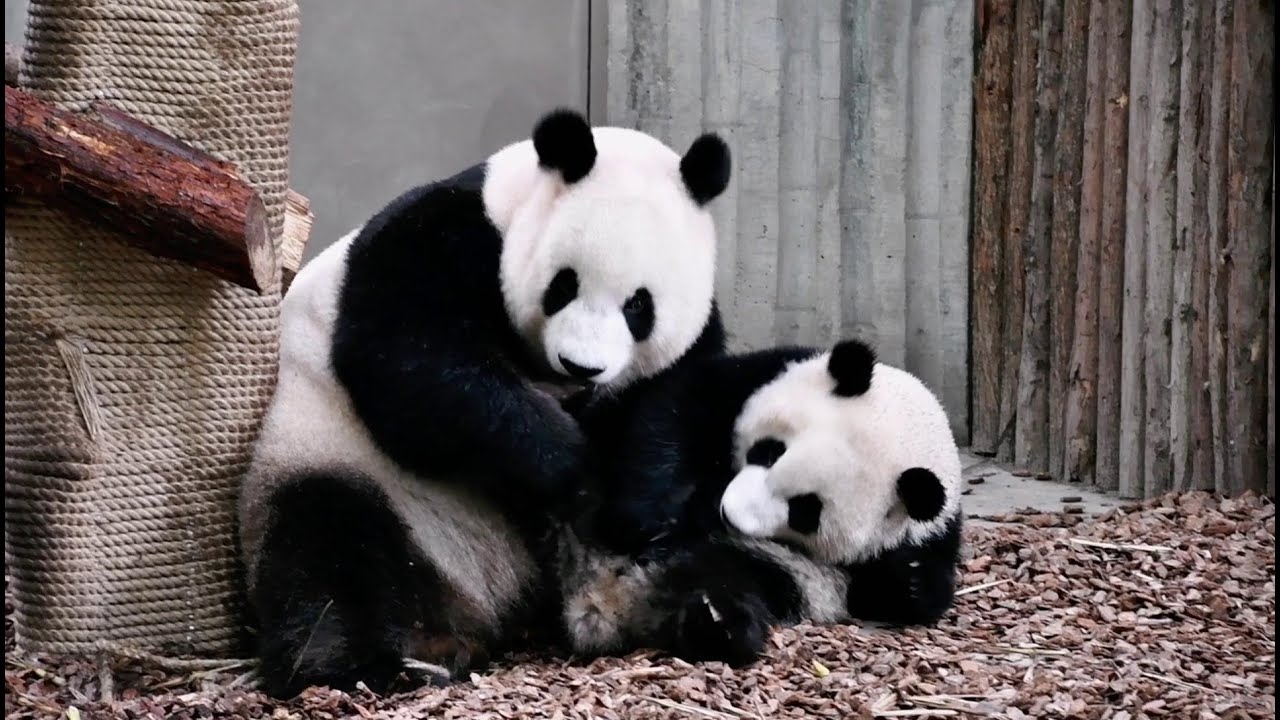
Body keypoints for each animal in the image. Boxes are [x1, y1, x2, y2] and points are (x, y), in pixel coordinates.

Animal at [237, 108, 732, 698]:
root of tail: (488, 604)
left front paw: (633, 501)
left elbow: (678, 399)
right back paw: (378, 661)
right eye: (564, 285)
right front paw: (572, 467)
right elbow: (416, 369)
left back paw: (709, 615)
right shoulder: (439, 241)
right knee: (326, 552)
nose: (582, 366)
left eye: (639, 305)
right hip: (330, 457)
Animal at [557, 338, 964, 666]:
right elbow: (670, 413)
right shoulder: (751, 378)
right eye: (770, 451)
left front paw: (912, 578)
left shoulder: (923, 533)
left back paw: (716, 622)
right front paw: (647, 519)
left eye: (805, 511)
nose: (728, 513)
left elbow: (900, 592)